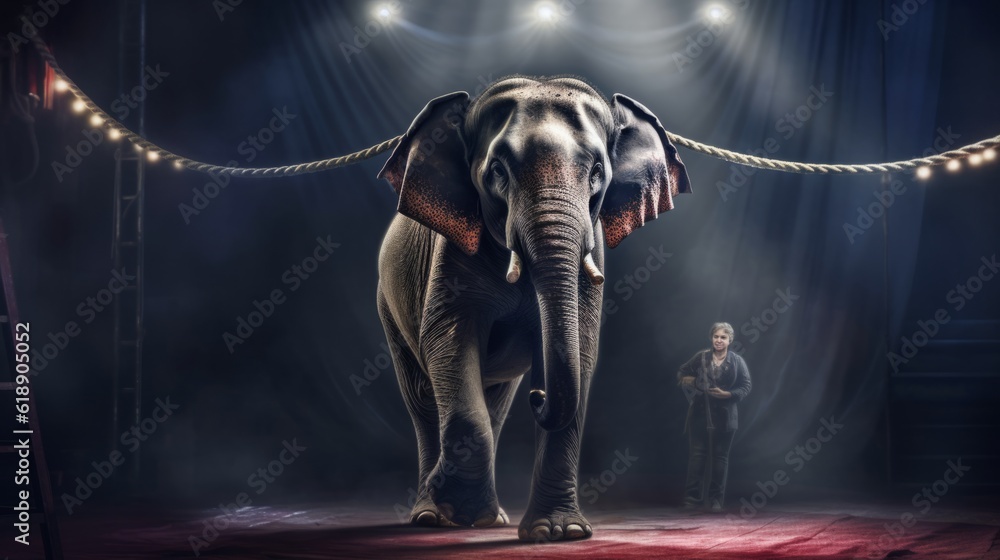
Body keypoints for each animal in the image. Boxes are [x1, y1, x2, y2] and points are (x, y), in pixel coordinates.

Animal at [375, 75, 691, 541]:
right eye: (497, 172)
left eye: (597, 173)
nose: (538, 397)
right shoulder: (451, 251)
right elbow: (448, 339)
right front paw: (454, 505)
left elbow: (580, 350)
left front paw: (560, 533)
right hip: (387, 304)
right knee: (422, 396)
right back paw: (437, 517)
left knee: (495, 401)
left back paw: (488, 519)